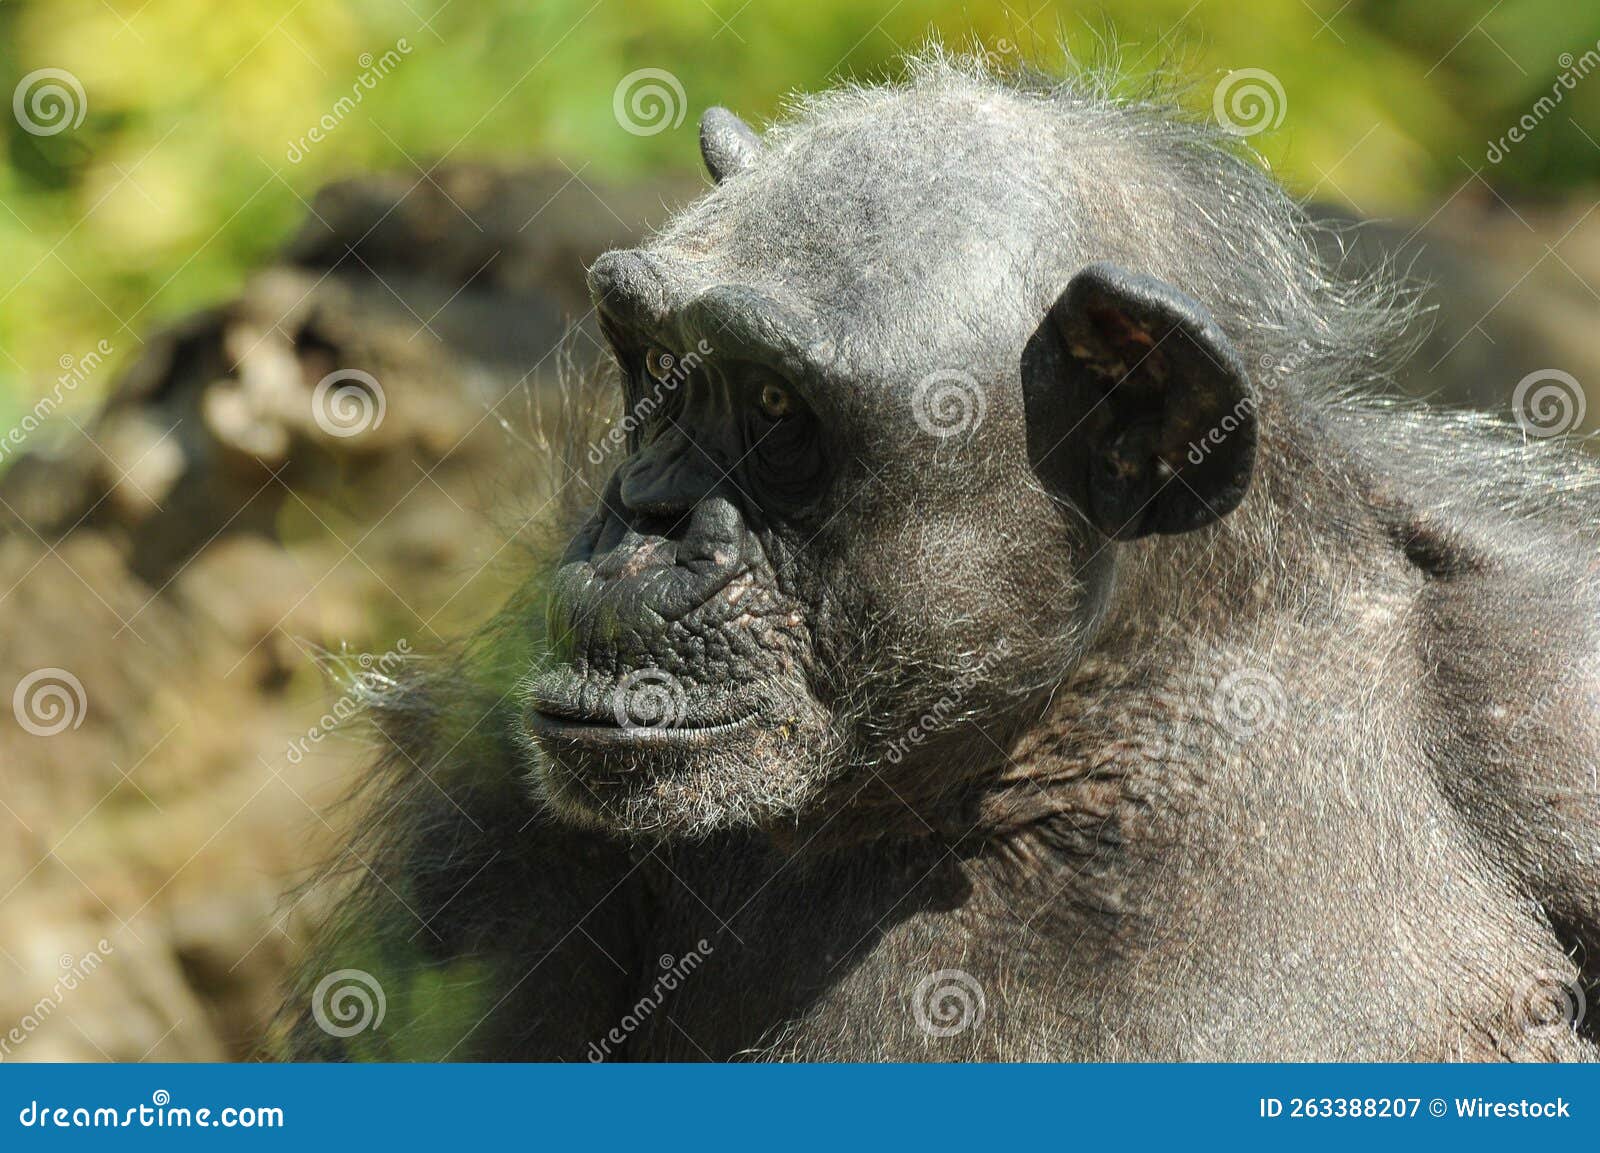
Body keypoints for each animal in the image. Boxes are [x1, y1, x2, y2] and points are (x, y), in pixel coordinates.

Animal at [282, 51, 1600, 1062]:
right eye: (655, 366)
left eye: (775, 406)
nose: (639, 527)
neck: (1089, 729)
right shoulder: (484, 831)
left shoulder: (1555, 699)